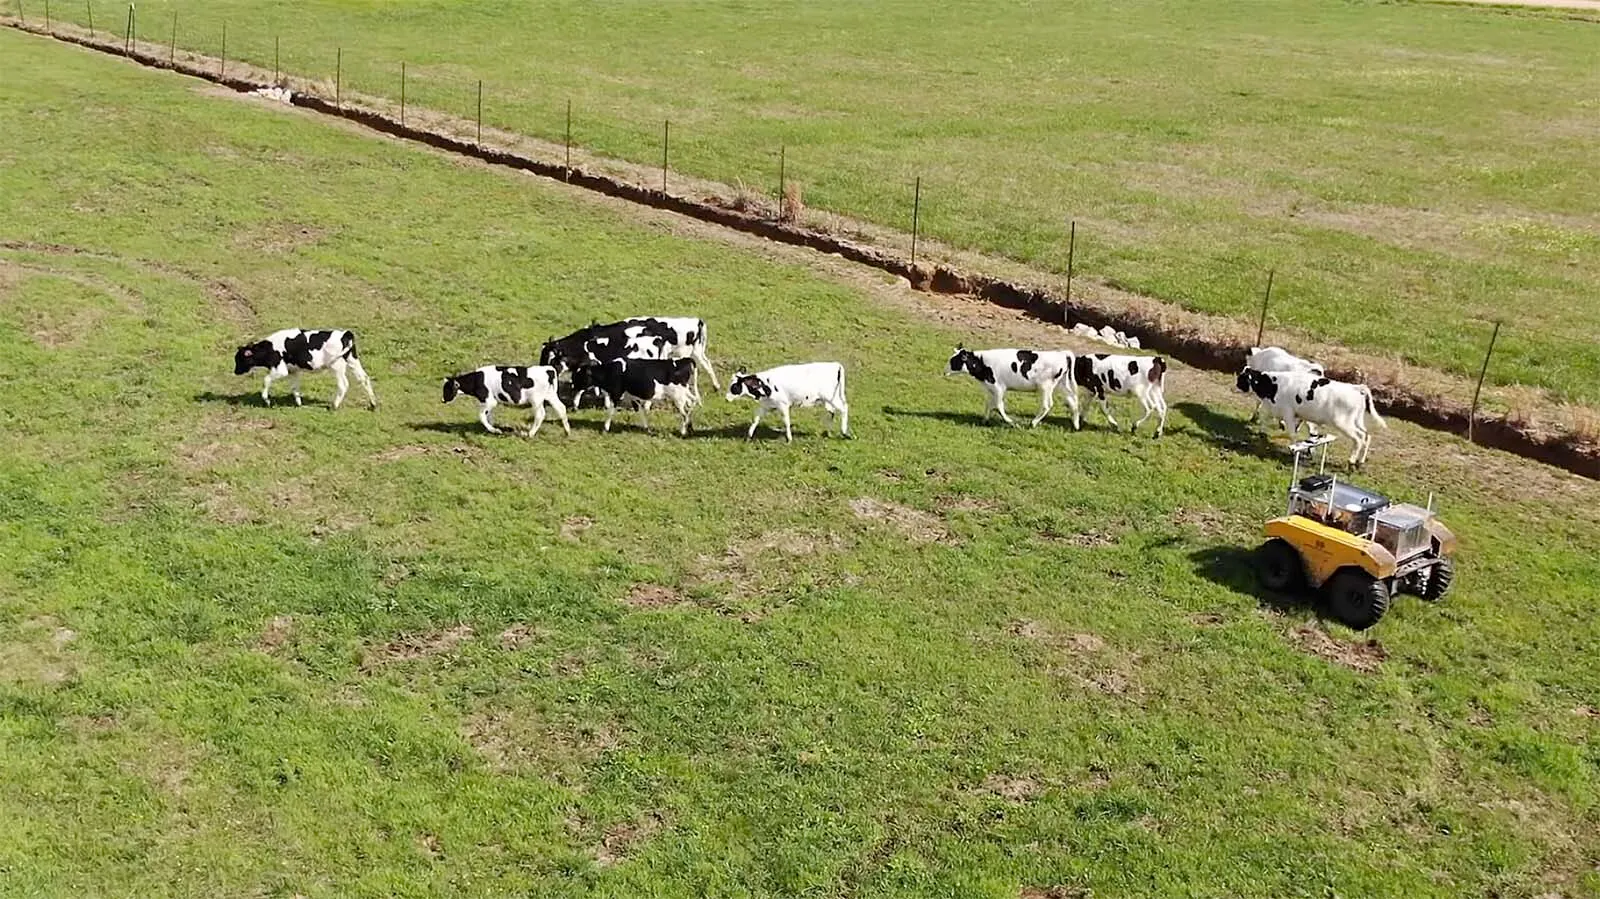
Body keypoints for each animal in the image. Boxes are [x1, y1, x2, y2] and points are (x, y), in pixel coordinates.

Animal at [233, 328, 377, 410]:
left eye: (239, 359)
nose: (235, 371)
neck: (270, 348)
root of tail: (344, 334)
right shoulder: (294, 370)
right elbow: (294, 388)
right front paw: (298, 403)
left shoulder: (281, 370)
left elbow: (266, 380)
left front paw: (267, 401)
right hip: (352, 360)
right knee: (364, 379)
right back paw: (373, 405)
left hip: (337, 364)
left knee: (343, 384)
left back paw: (334, 406)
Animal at [441, 365, 569, 437]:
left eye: (447, 388)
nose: (442, 400)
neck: (477, 380)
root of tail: (548, 369)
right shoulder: (488, 403)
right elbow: (488, 416)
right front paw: (492, 428)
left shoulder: (489, 401)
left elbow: (481, 416)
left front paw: (495, 430)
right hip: (551, 395)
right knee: (561, 408)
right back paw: (567, 432)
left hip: (536, 399)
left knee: (540, 414)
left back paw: (530, 434)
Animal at [568, 357, 698, 435]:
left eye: (579, 374)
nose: (572, 385)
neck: (611, 371)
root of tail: (684, 360)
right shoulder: (633, 397)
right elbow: (641, 411)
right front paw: (647, 429)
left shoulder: (616, 394)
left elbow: (610, 412)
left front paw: (605, 429)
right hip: (684, 393)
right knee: (691, 404)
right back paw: (690, 428)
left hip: (678, 397)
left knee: (684, 413)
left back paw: (683, 432)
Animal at [945, 347, 1079, 428]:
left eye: (953, 361)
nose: (944, 370)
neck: (982, 363)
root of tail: (1063, 353)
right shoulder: (990, 388)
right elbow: (989, 404)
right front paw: (984, 420)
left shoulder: (999, 387)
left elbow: (999, 406)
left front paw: (1011, 422)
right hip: (1062, 385)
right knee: (1073, 401)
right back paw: (1075, 425)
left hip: (1045, 387)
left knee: (1047, 405)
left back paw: (1033, 423)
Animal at [1235, 367, 1386, 466]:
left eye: (1241, 378)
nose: (1236, 385)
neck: (1273, 384)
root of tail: (1355, 388)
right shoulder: (1278, 409)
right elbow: (1264, 420)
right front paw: (1262, 435)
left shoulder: (1288, 413)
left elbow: (1293, 433)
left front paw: (1294, 449)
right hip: (1356, 420)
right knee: (1367, 435)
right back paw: (1360, 461)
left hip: (1343, 423)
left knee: (1359, 439)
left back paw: (1352, 461)